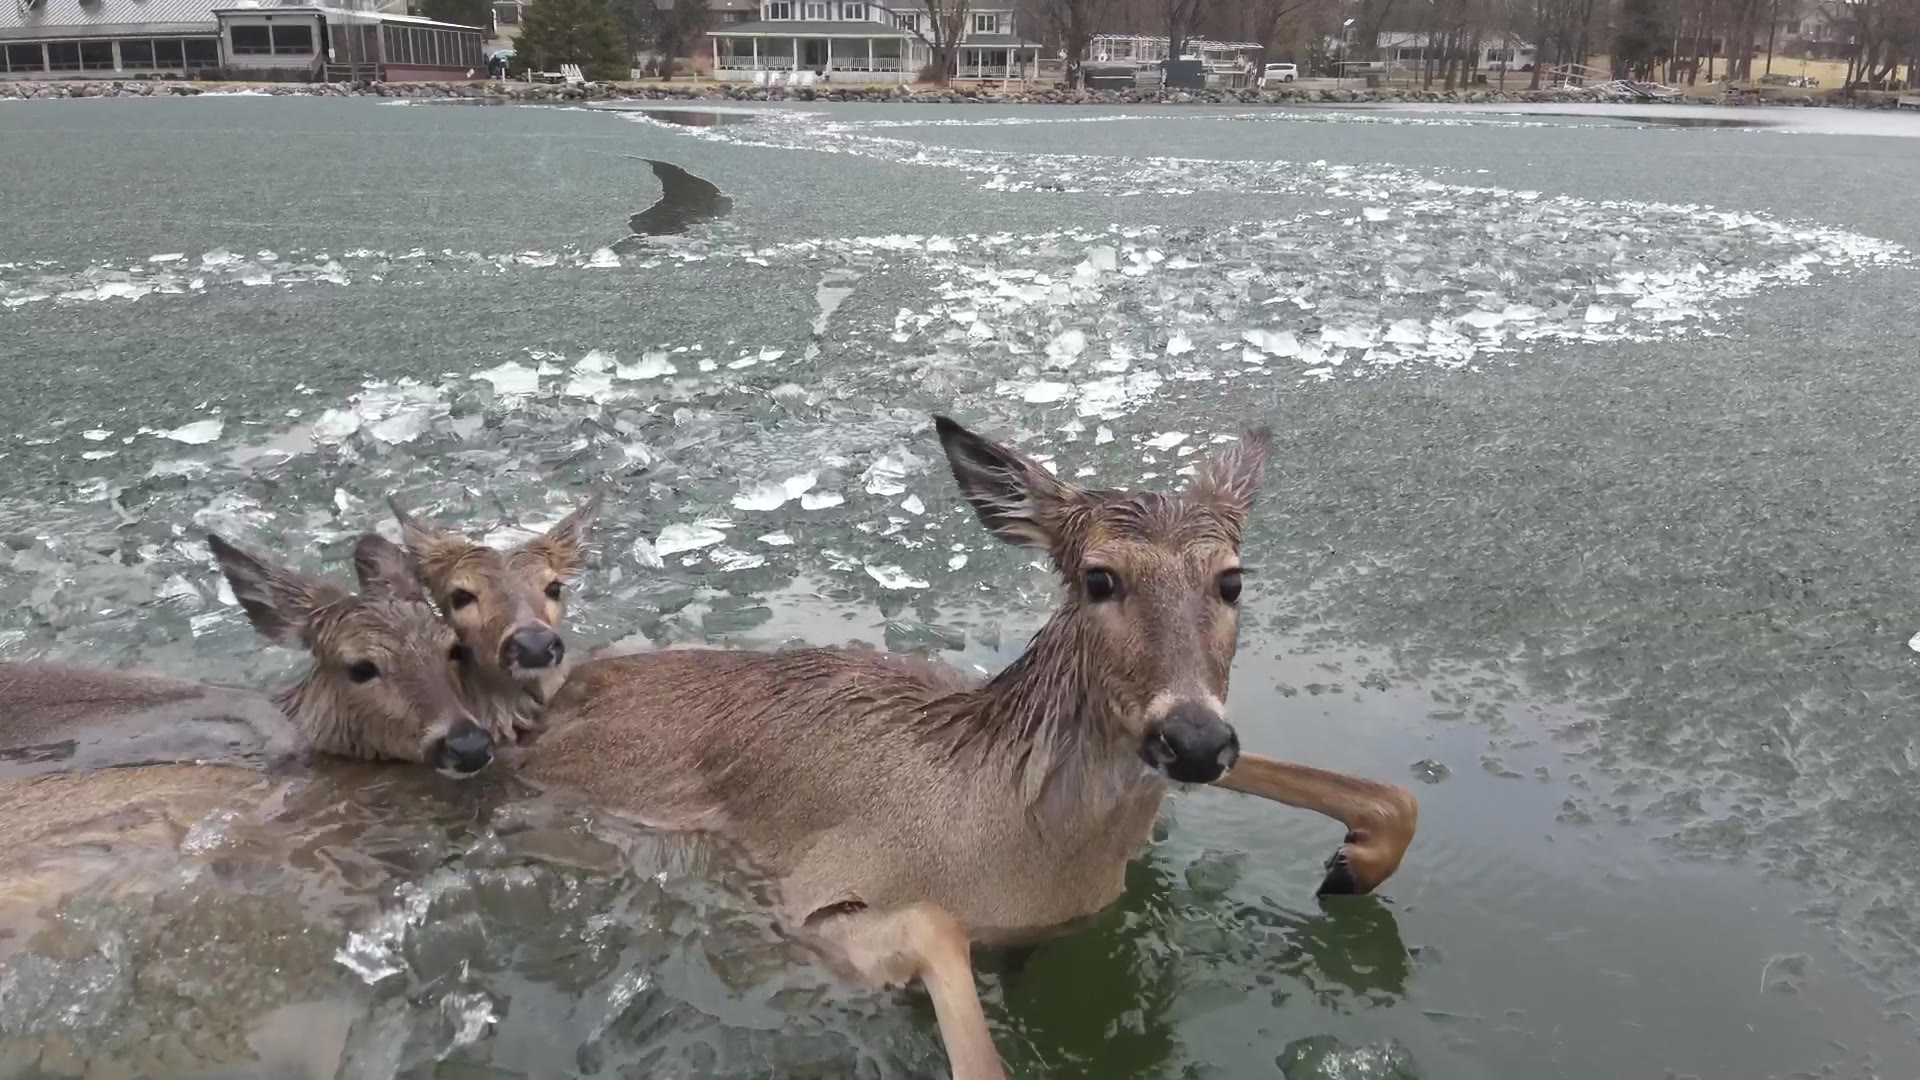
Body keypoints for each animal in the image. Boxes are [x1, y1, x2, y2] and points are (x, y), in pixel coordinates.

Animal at [512, 415, 1421, 1080]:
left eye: (1232, 580)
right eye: (1098, 577)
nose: (1192, 738)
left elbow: (1396, 792)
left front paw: (1350, 865)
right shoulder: (810, 903)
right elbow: (939, 944)